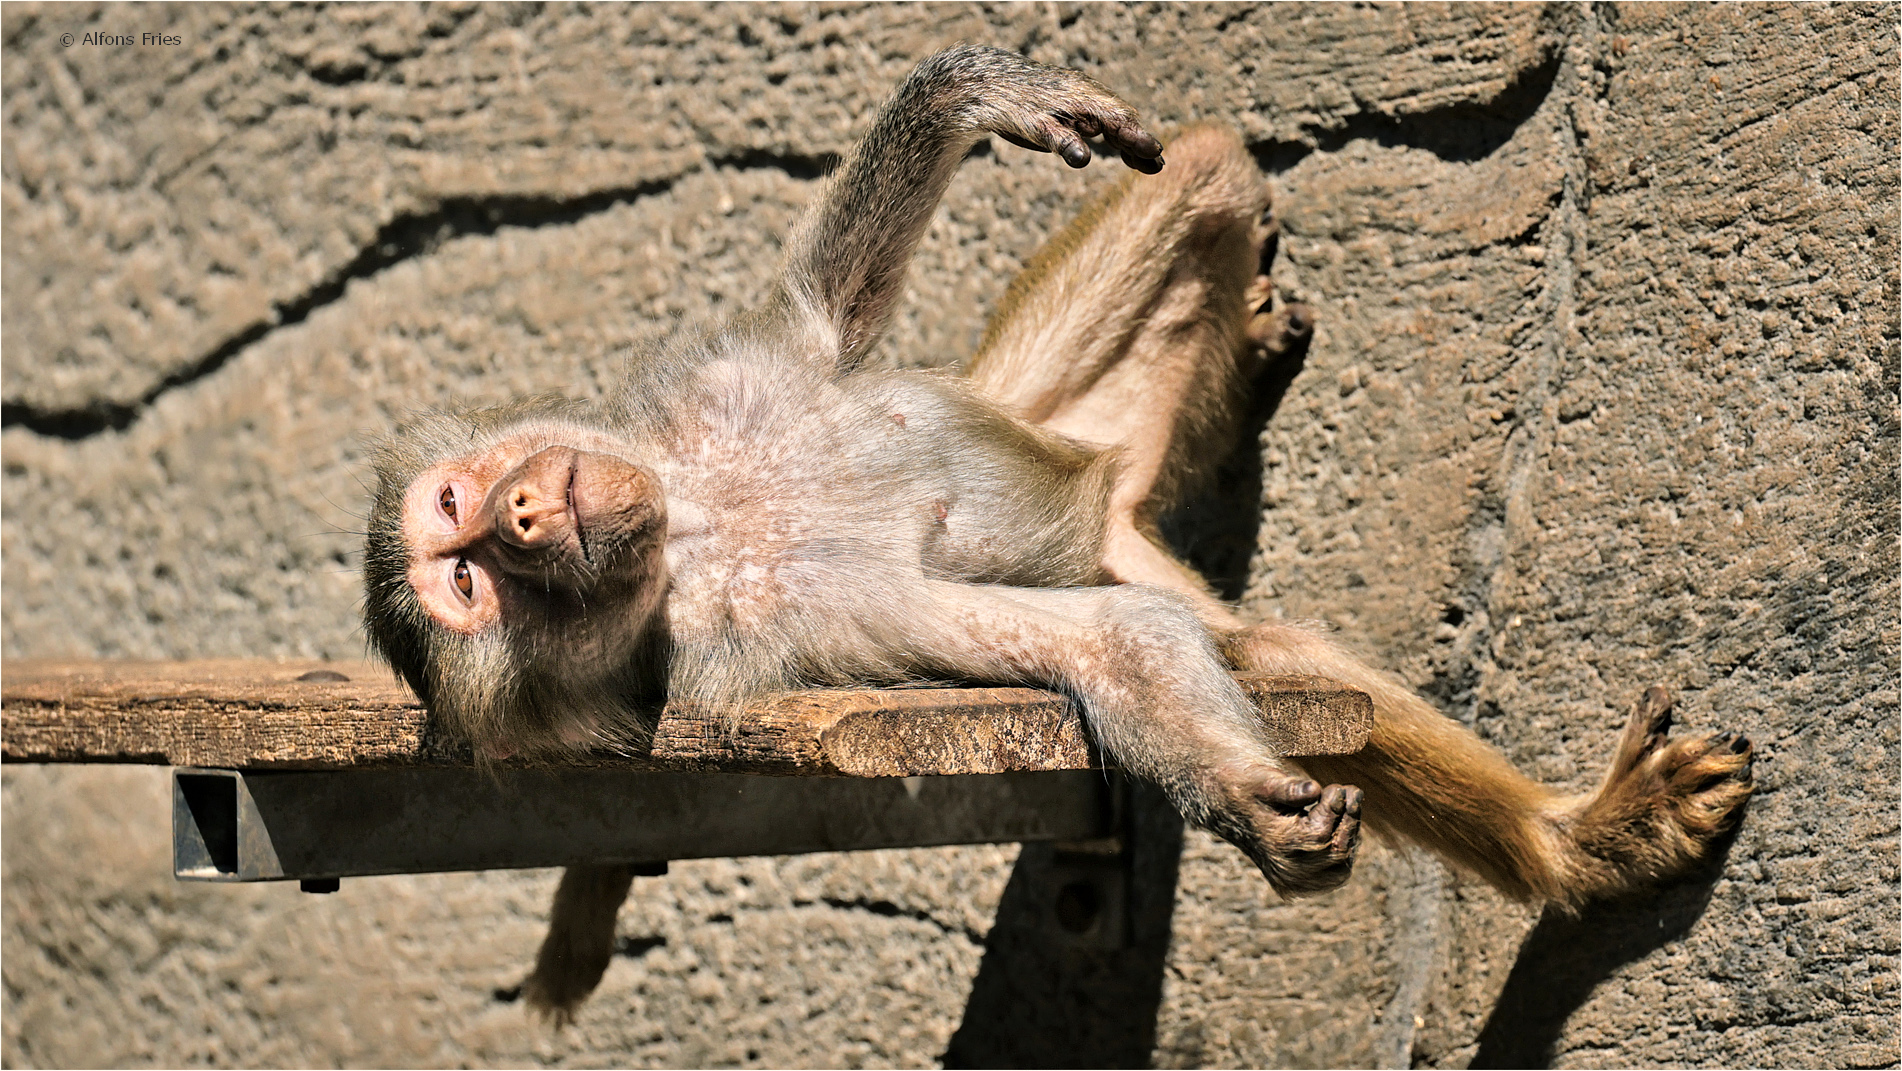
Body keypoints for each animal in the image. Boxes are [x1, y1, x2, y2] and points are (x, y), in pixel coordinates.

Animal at [360, 46, 1755, 1022]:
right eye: (470, 583)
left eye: (457, 526)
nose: (519, 513)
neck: (705, 522)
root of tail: (1109, 496)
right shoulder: (781, 636)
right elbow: (1101, 645)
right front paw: (1243, 800)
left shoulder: (711, 395)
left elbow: (834, 292)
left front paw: (985, 94)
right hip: (1098, 487)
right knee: (1243, 648)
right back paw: (1571, 846)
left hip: (1048, 406)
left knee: (1199, 176)